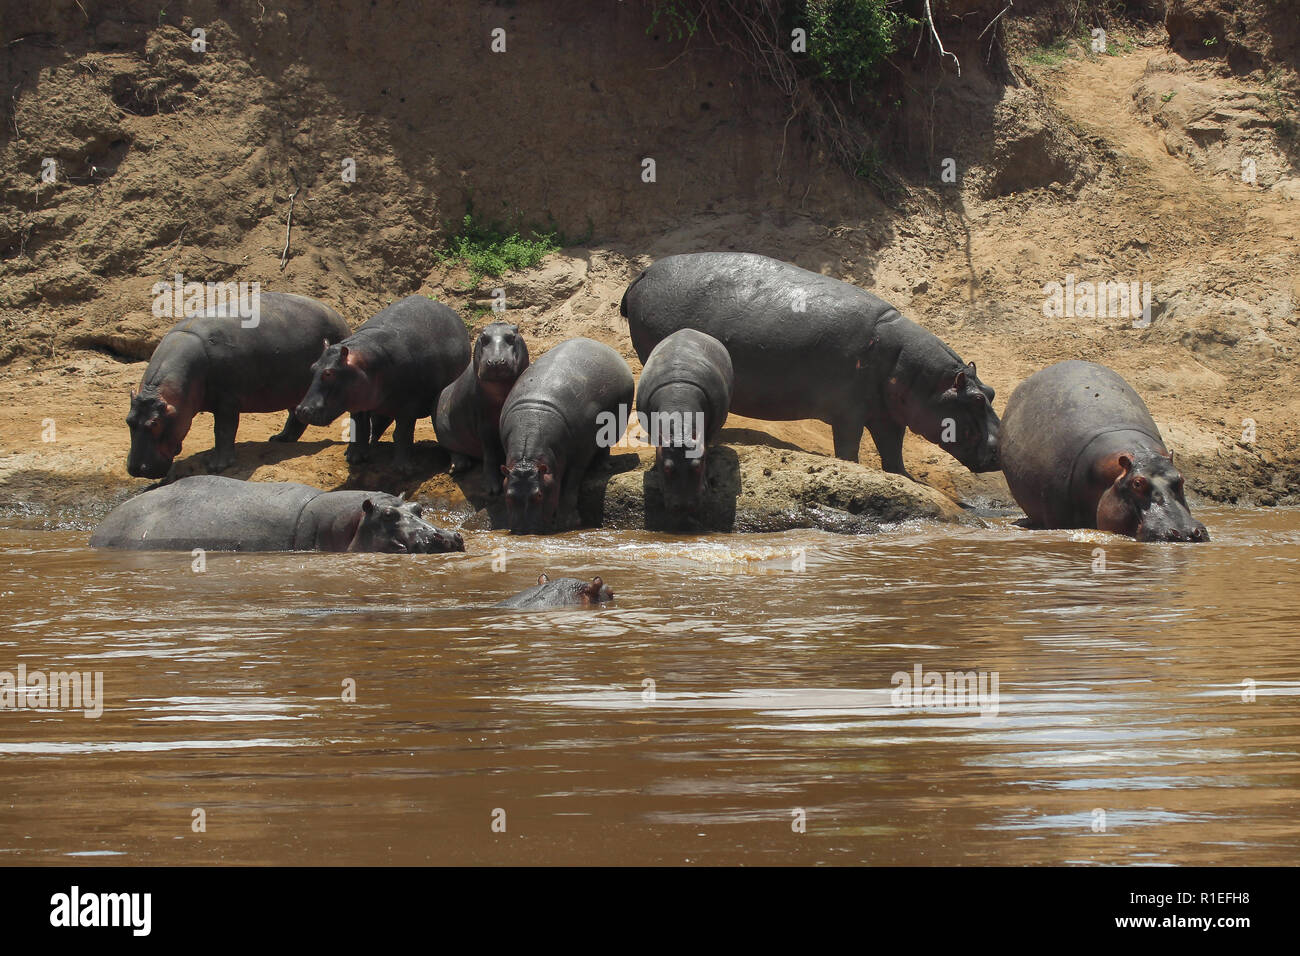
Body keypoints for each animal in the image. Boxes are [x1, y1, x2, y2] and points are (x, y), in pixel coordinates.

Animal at [126, 292, 351, 478]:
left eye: (155, 423)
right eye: (128, 421)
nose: (135, 469)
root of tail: (339, 316)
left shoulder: (227, 401)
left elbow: (224, 430)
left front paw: (216, 466)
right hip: (293, 390)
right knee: (296, 416)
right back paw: (279, 439)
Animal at [295, 295, 471, 470]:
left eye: (329, 373)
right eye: (312, 367)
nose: (302, 410)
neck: (364, 362)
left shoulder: (409, 405)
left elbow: (401, 433)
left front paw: (402, 468)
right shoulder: (359, 401)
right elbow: (359, 427)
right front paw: (354, 458)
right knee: (377, 425)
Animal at [434, 321, 530, 485]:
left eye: (511, 337)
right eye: (483, 338)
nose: (496, 361)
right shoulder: (484, 423)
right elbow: (489, 453)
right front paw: (492, 486)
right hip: (444, 433)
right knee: (453, 450)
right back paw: (455, 467)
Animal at [499, 337, 635, 533]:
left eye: (539, 495)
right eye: (508, 495)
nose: (524, 531)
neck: (527, 460)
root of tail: (602, 345)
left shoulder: (580, 454)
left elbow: (571, 483)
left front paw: (567, 522)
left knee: (604, 447)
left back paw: (602, 466)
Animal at [621, 252, 999, 477]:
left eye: (992, 391)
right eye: (977, 399)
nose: (1002, 450)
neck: (923, 378)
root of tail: (643, 272)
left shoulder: (888, 415)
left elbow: (893, 451)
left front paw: (903, 477)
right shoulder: (850, 413)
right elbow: (848, 448)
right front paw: (853, 468)